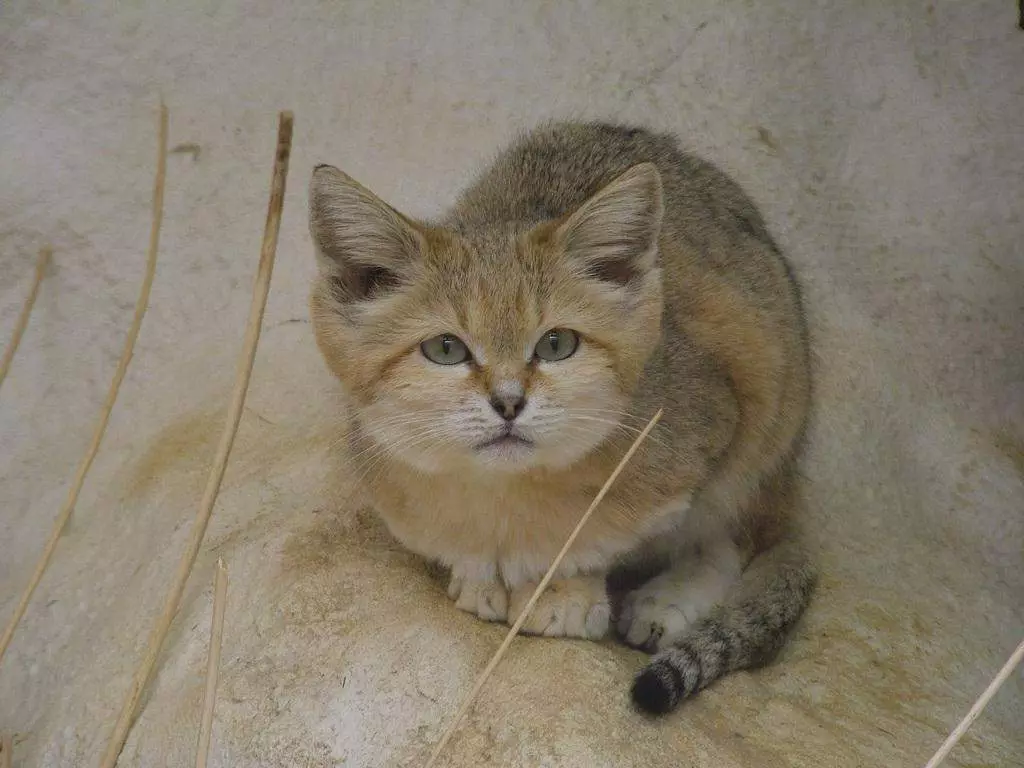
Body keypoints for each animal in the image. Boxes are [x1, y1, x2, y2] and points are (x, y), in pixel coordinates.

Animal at [307, 121, 811, 716]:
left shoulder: (711, 426)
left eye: (556, 344)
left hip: (771, 414)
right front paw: (479, 573)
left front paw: (564, 591)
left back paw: (666, 601)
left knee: (733, 539)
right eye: (445, 350)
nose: (508, 402)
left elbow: (601, 539)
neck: (506, 493)